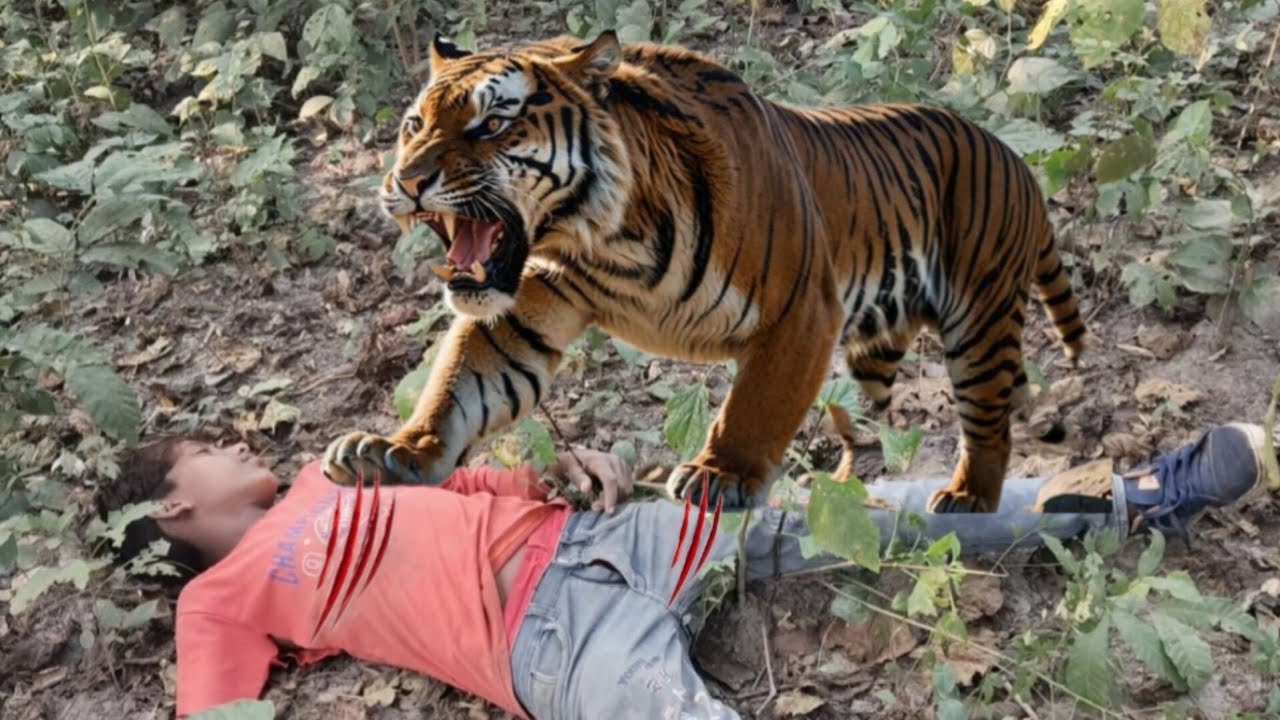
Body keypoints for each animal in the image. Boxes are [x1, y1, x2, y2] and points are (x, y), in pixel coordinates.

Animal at [321, 31, 1087, 513]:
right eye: (414, 125)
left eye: (491, 125)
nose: (406, 181)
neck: (605, 239)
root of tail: (1012, 156)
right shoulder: (522, 309)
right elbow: (463, 383)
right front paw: (397, 450)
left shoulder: (801, 311)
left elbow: (753, 408)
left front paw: (721, 476)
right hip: (877, 353)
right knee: (911, 414)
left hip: (978, 320)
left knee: (988, 418)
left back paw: (970, 495)